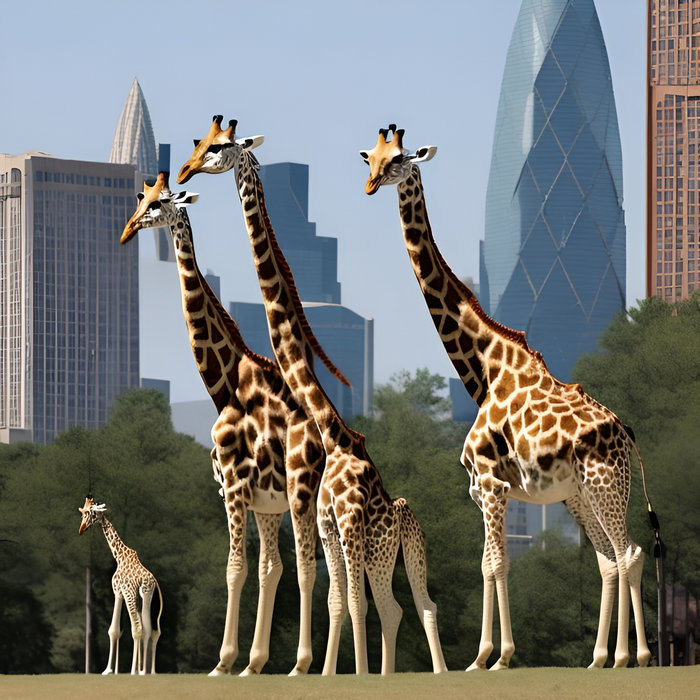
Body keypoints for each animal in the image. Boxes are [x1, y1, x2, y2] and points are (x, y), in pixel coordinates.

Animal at [78, 497, 163, 675]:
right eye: (82, 513)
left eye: (91, 513)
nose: (81, 529)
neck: (119, 557)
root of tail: (153, 582)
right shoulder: (130, 595)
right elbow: (125, 630)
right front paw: (119, 669)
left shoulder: (118, 591)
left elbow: (114, 630)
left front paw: (107, 670)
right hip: (146, 595)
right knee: (150, 630)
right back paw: (147, 671)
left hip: (133, 595)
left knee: (138, 628)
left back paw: (134, 671)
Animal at [121, 171, 327, 676]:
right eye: (140, 201)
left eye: (159, 204)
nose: (130, 229)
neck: (225, 383)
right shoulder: (253, 499)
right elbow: (260, 569)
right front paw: (248, 662)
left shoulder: (234, 486)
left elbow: (233, 568)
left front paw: (223, 661)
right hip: (281, 505)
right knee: (287, 567)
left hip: (301, 493)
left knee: (310, 565)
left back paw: (304, 664)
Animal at [177, 116, 447, 675]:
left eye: (218, 149)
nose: (184, 170)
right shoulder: (303, 512)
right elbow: (316, 587)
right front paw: (286, 665)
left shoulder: (303, 503)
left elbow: (305, 581)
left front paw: (292, 665)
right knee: (401, 604)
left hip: (371, 541)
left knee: (394, 603)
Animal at [360, 125, 654, 670]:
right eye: (371, 159)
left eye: (401, 160)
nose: (370, 187)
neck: (483, 369)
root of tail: (626, 435)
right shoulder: (482, 490)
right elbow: (485, 565)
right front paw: (485, 655)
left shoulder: (492, 485)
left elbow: (498, 565)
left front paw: (492, 657)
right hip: (580, 494)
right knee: (608, 560)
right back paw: (599, 657)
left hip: (605, 485)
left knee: (630, 553)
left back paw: (634, 656)